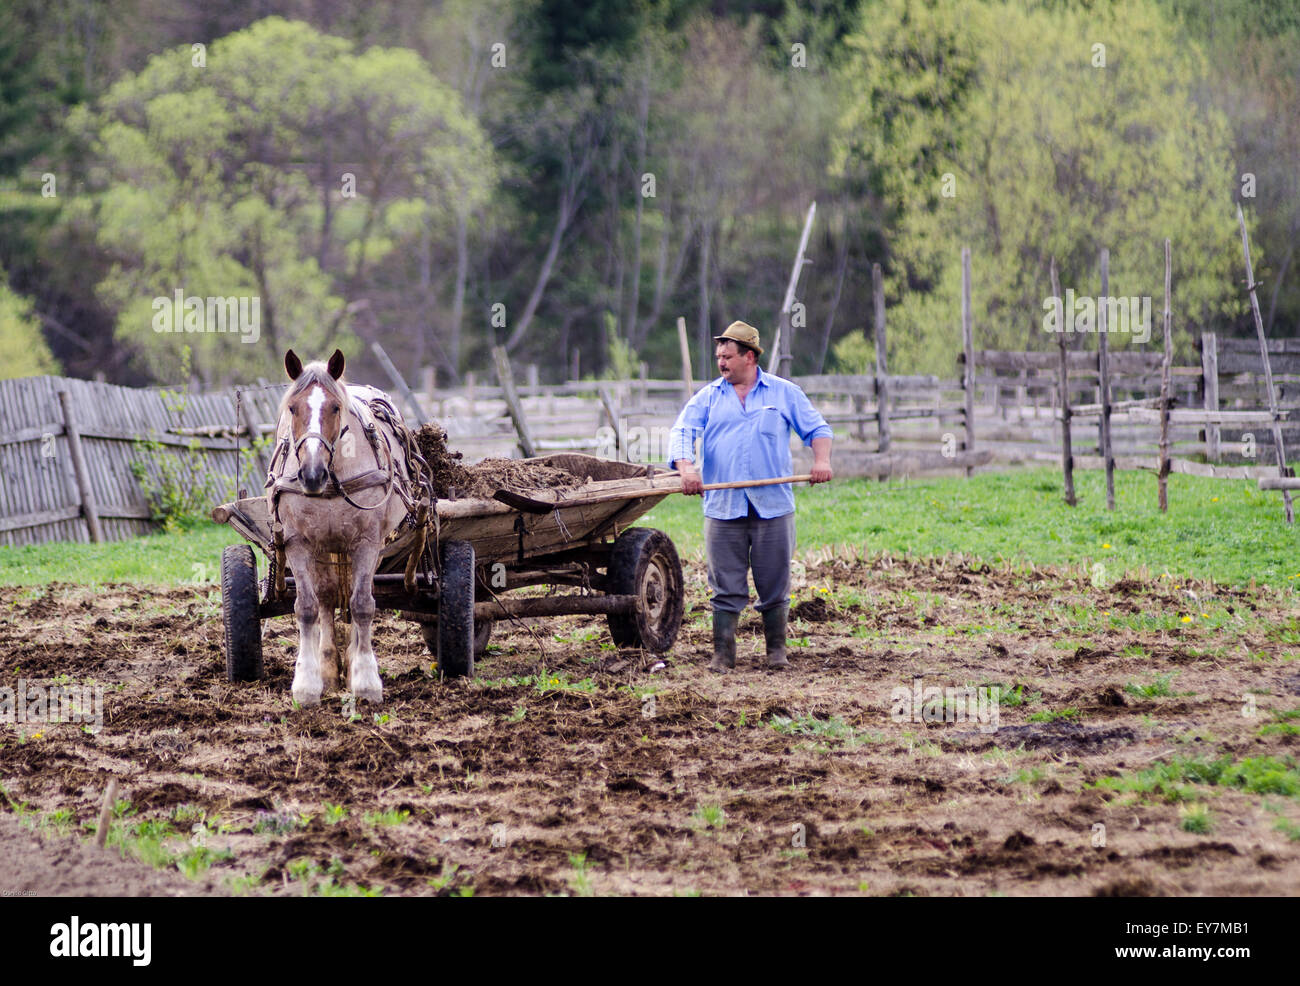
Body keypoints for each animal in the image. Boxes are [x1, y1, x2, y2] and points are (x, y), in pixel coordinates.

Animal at [267, 349, 424, 707]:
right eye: (293, 408)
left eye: (335, 408)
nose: (311, 474)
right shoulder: (298, 543)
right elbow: (308, 607)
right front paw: (307, 684)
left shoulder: (367, 542)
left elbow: (362, 604)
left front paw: (365, 680)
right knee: (326, 596)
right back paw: (328, 667)